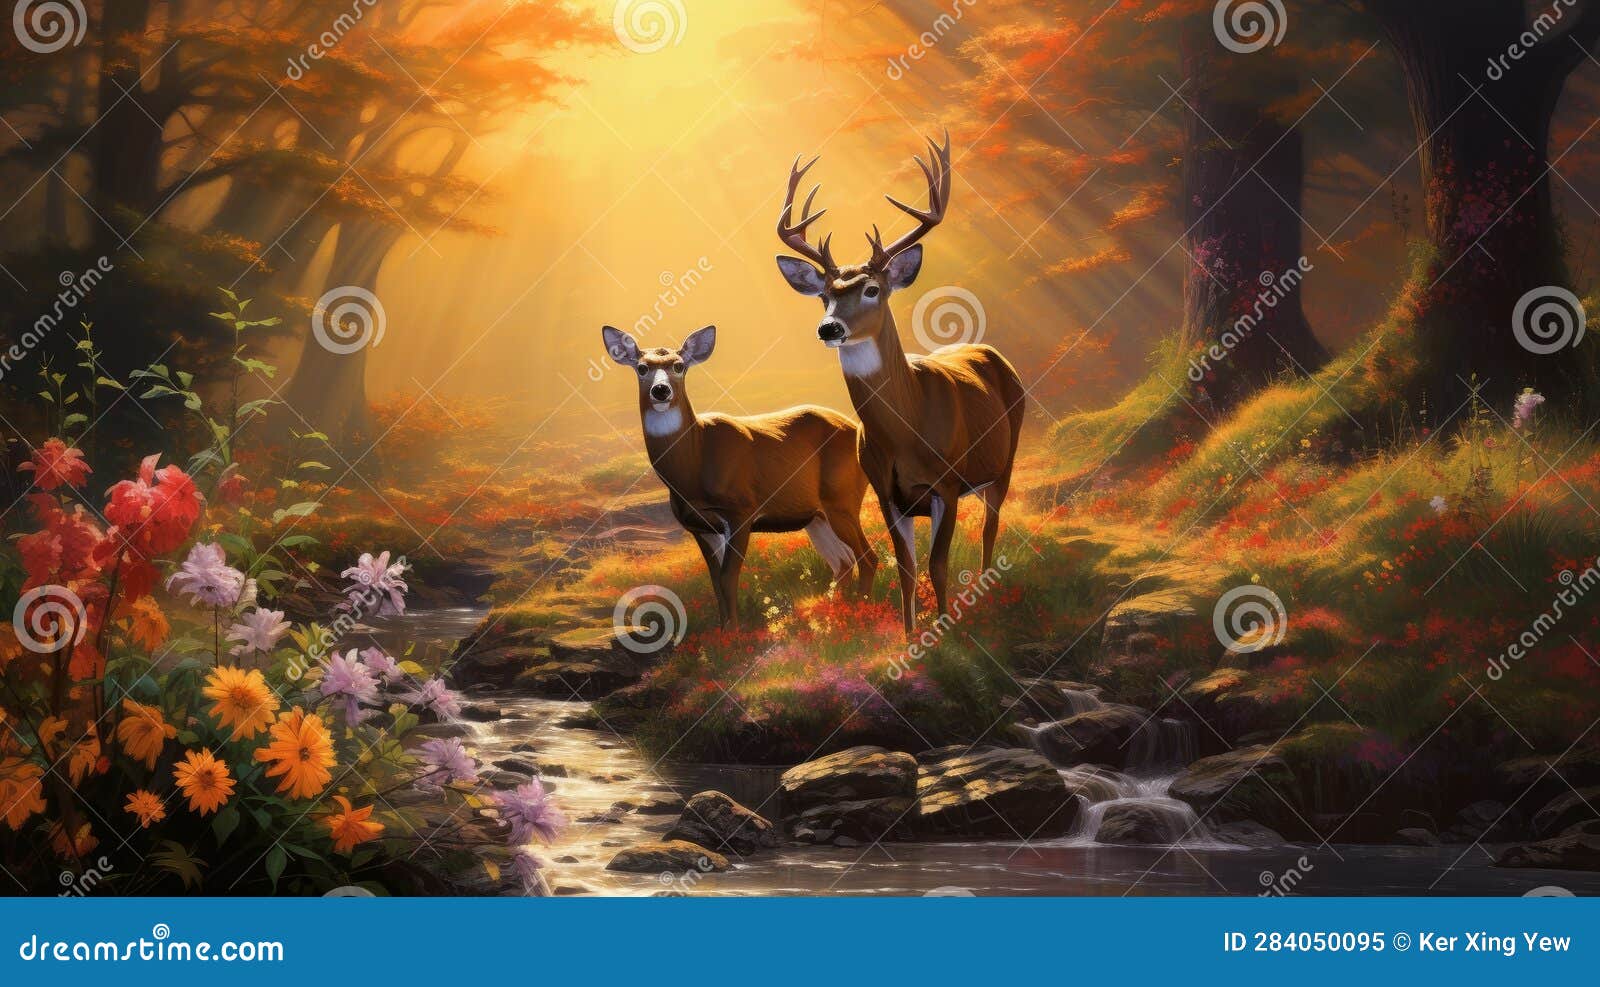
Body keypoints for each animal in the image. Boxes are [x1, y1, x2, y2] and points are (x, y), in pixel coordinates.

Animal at [601, 324, 877, 629]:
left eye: (679, 365)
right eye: (641, 368)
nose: (660, 390)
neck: (693, 470)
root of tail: (858, 431)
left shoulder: (741, 511)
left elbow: (727, 577)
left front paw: (734, 631)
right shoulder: (700, 527)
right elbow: (714, 581)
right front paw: (724, 630)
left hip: (841, 498)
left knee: (867, 557)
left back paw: (860, 612)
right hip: (816, 517)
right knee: (843, 562)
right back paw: (833, 613)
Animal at [773, 134, 1026, 636]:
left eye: (872, 289)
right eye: (825, 295)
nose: (828, 328)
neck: (905, 432)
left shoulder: (946, 482)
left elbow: (938, 564)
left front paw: (944, 630)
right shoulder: (888, 493)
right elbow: (906, 568)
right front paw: (909, 636)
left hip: (1004, 458)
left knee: (991, 526)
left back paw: (987, 591)